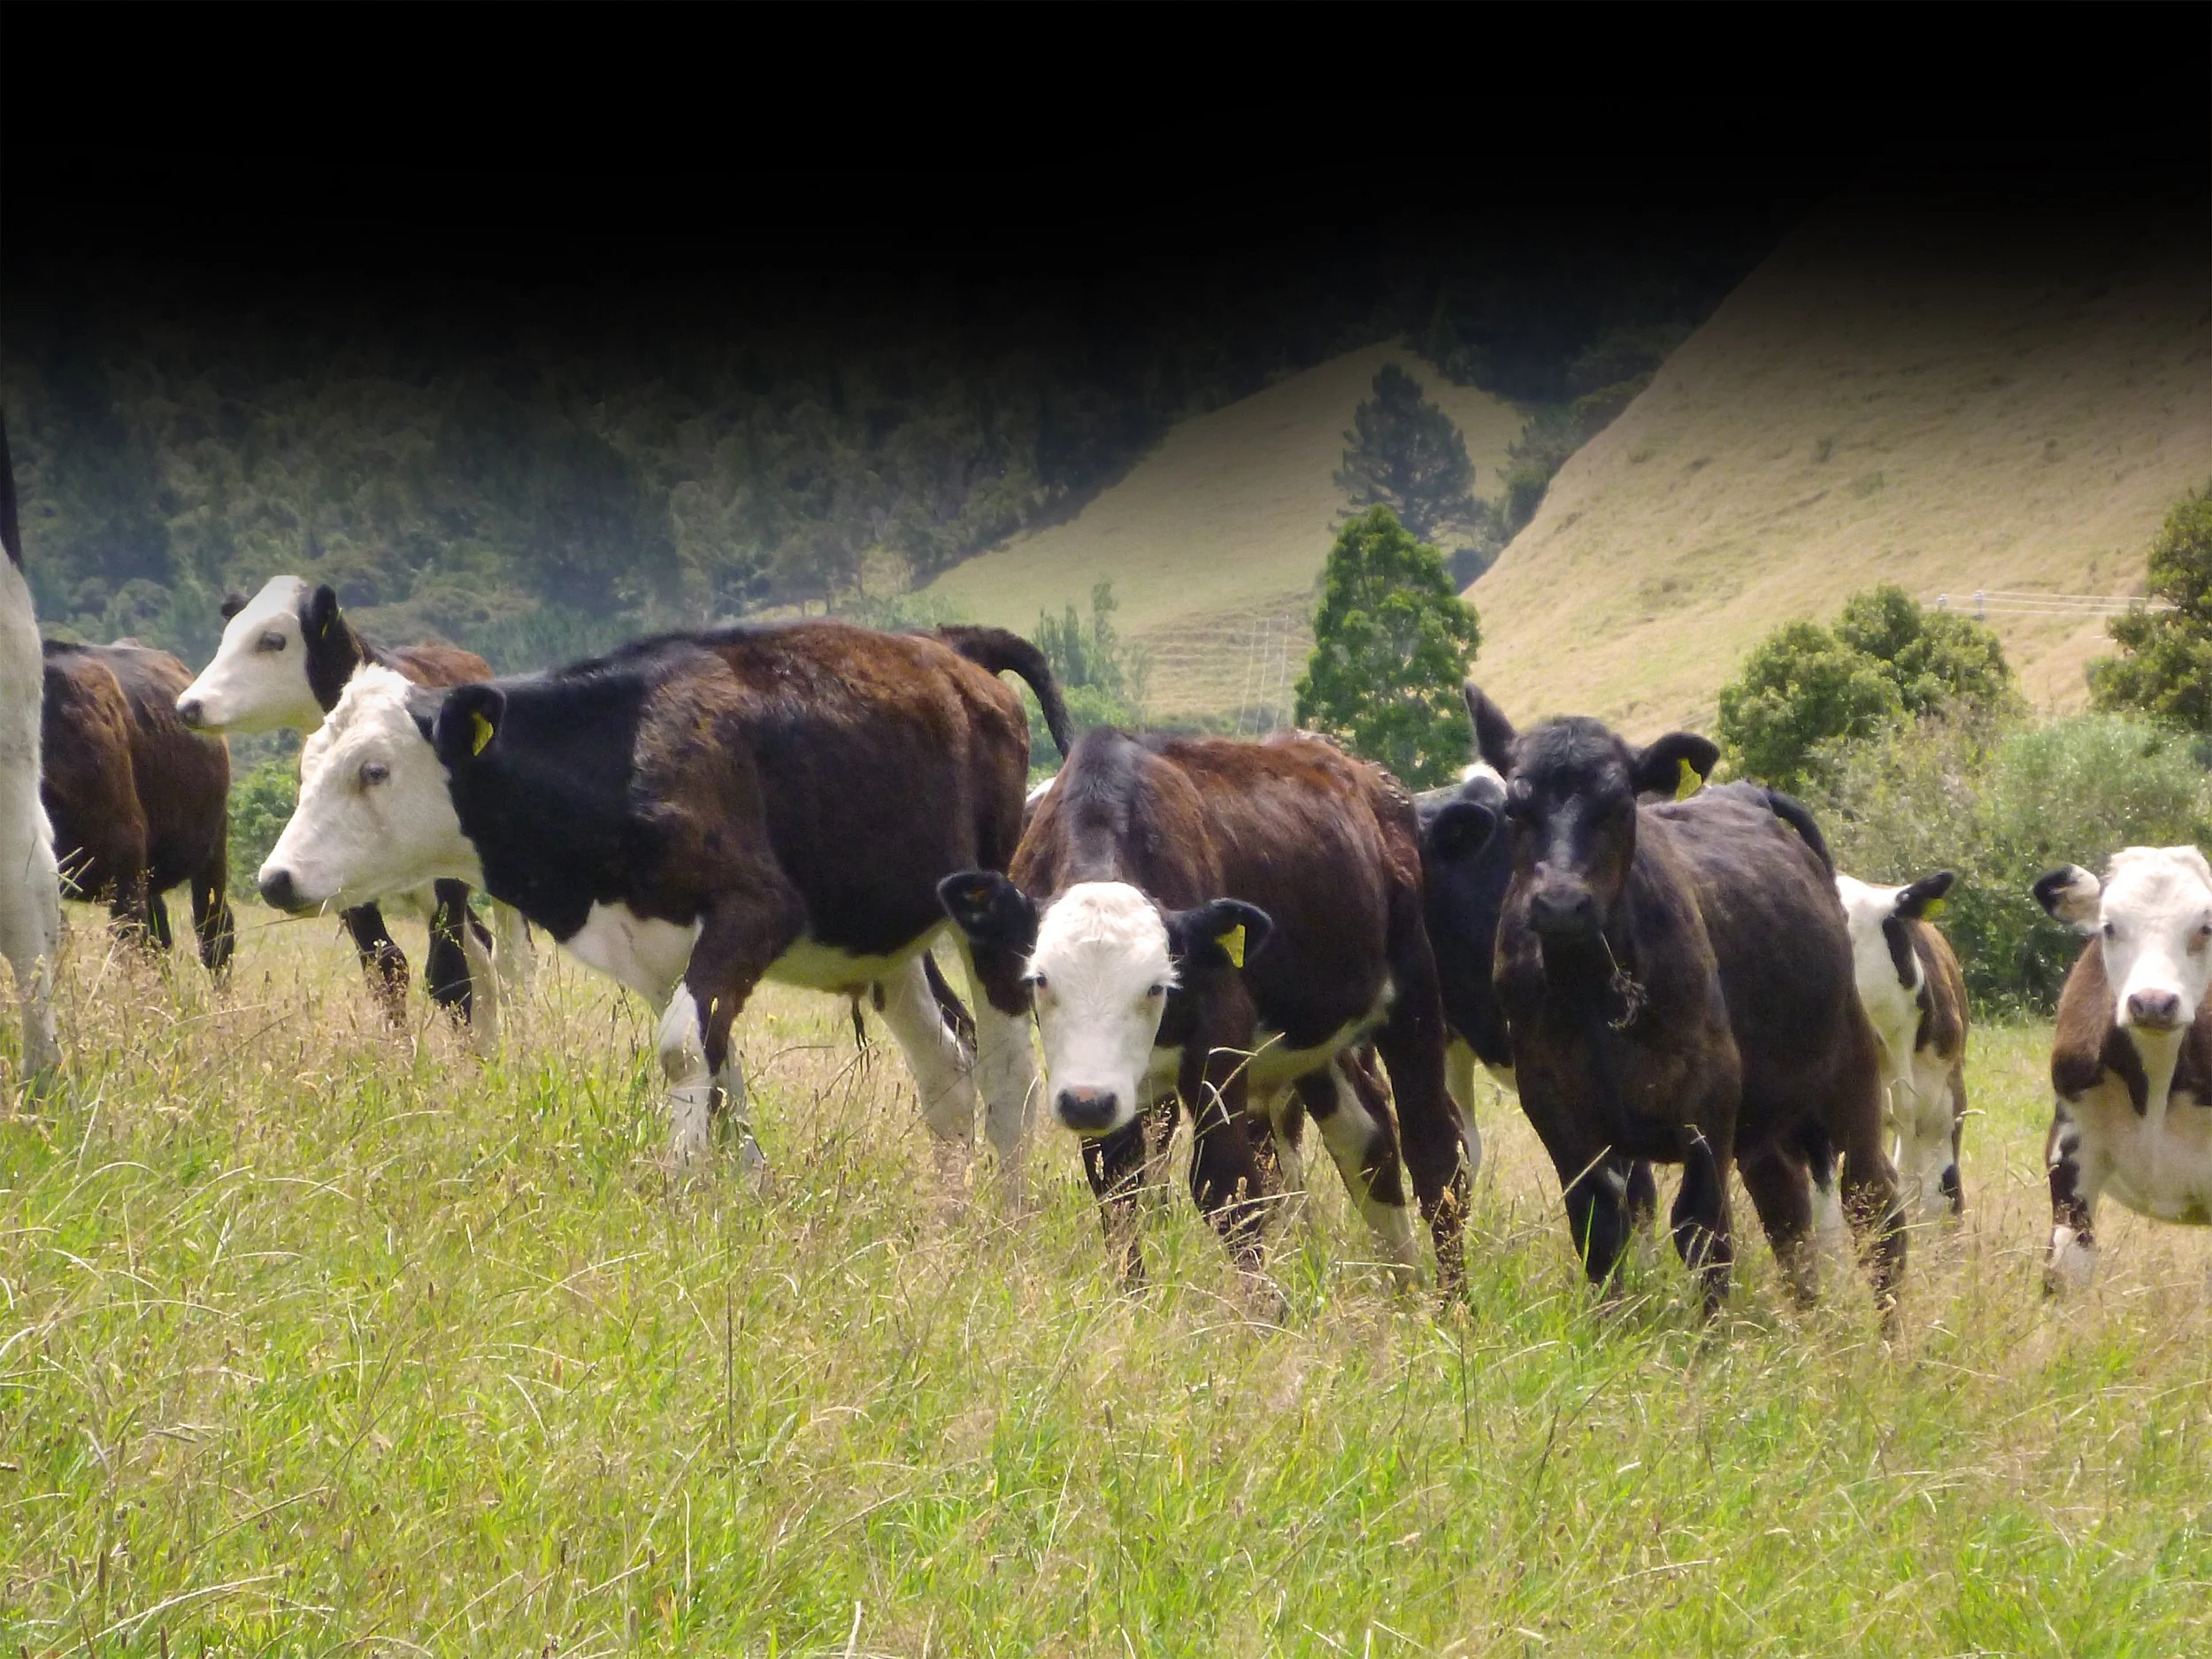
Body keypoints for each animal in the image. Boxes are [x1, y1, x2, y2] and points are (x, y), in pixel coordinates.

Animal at [176, 575, 520, 1028]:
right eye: (227, 635)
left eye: (272, 639)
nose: (189, 705)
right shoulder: (334, 872)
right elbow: (386, 967)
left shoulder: (448, 883)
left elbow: (448, 976)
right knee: (481, 953)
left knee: (505, 965)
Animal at [255, 618, 1073, 1184]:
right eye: (307, 766)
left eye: (375, 769)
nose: (275, 878)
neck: (621, 759)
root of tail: (945, 645)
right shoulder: (655, 955)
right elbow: (717, 1076)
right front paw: (745, 1200)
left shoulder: (754, 911)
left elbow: (682, 1053)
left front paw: (683, 1190)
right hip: (884, 943)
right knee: (946, 1075)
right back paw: (950, 1218)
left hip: (985, 919)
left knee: (1008, 1083)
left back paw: (1006, 1225)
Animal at [938, 726, 1471, 1293]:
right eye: (1040, 980)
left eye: (1157, 987)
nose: (1086, 1104)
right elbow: (1118, 1187)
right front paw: (1133, 1301)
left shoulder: (1218, 1045)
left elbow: (1227, 1187)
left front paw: (1260, 1311)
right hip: (1316, 1045)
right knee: (1369, 1143)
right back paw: (1405, 1292)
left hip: (1414, 1001)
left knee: (1437, 1161)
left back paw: (1451, 1304)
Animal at [1453, 687, 1901, 1316]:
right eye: (1517, 809)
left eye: (1620, 805)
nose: (1561, 904)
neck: (1593, 994)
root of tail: (1745, 794)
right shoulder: (1560, 1117)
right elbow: (1598, 1231)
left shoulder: (1706, 1108)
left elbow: (1702, 1231)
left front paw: (1713, 1338)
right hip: (1764, 1125)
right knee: (1787, 1215)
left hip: (1850, 1077)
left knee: (1876, 1207)